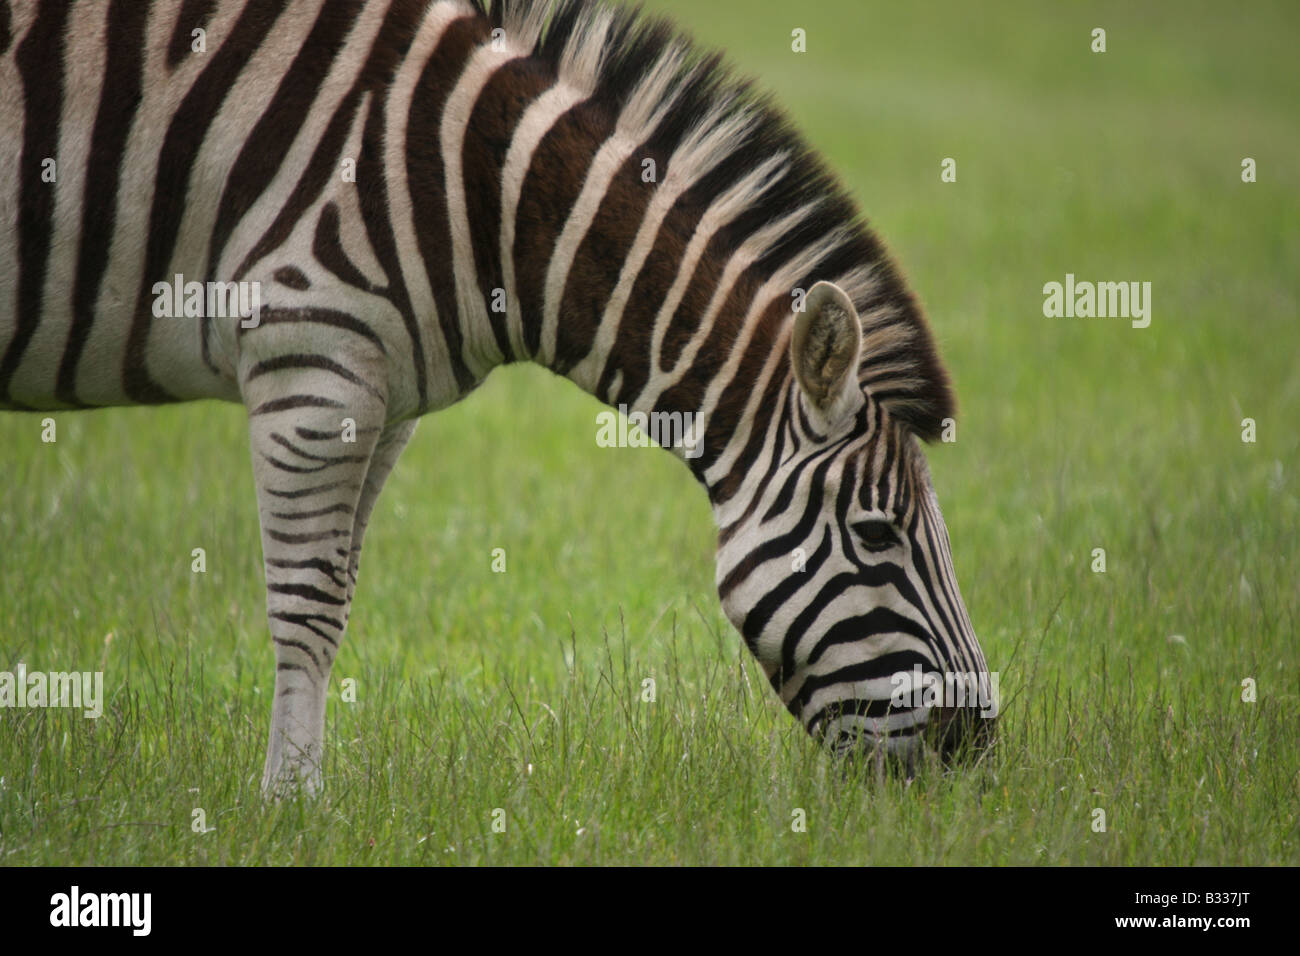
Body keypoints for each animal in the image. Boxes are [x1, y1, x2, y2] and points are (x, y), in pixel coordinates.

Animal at [0, 0, 996, 794]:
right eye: (877, 535)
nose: (978, 755)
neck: (482, 197)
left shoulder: (381, 400)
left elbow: (341, 592)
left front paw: (301, 793)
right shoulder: (311, 361)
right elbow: (307, 603)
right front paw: (291, 804)